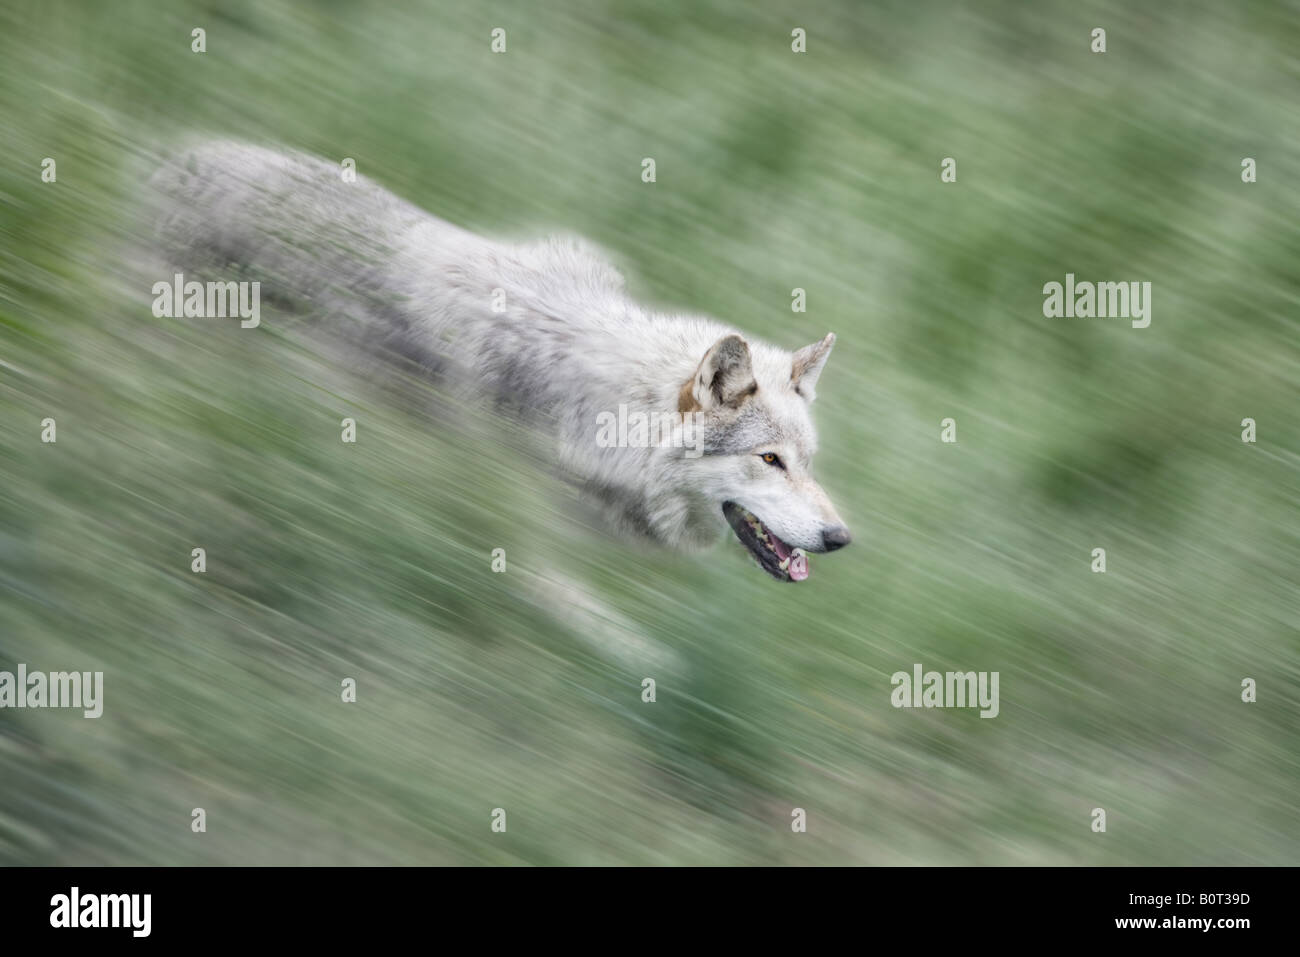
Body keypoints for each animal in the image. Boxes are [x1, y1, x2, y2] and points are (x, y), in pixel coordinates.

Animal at [149, 141, 851, 581]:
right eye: (770, 460)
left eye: (808, 462)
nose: (842, 539)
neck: (604, 417)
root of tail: (171, 163)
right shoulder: (514, 525)